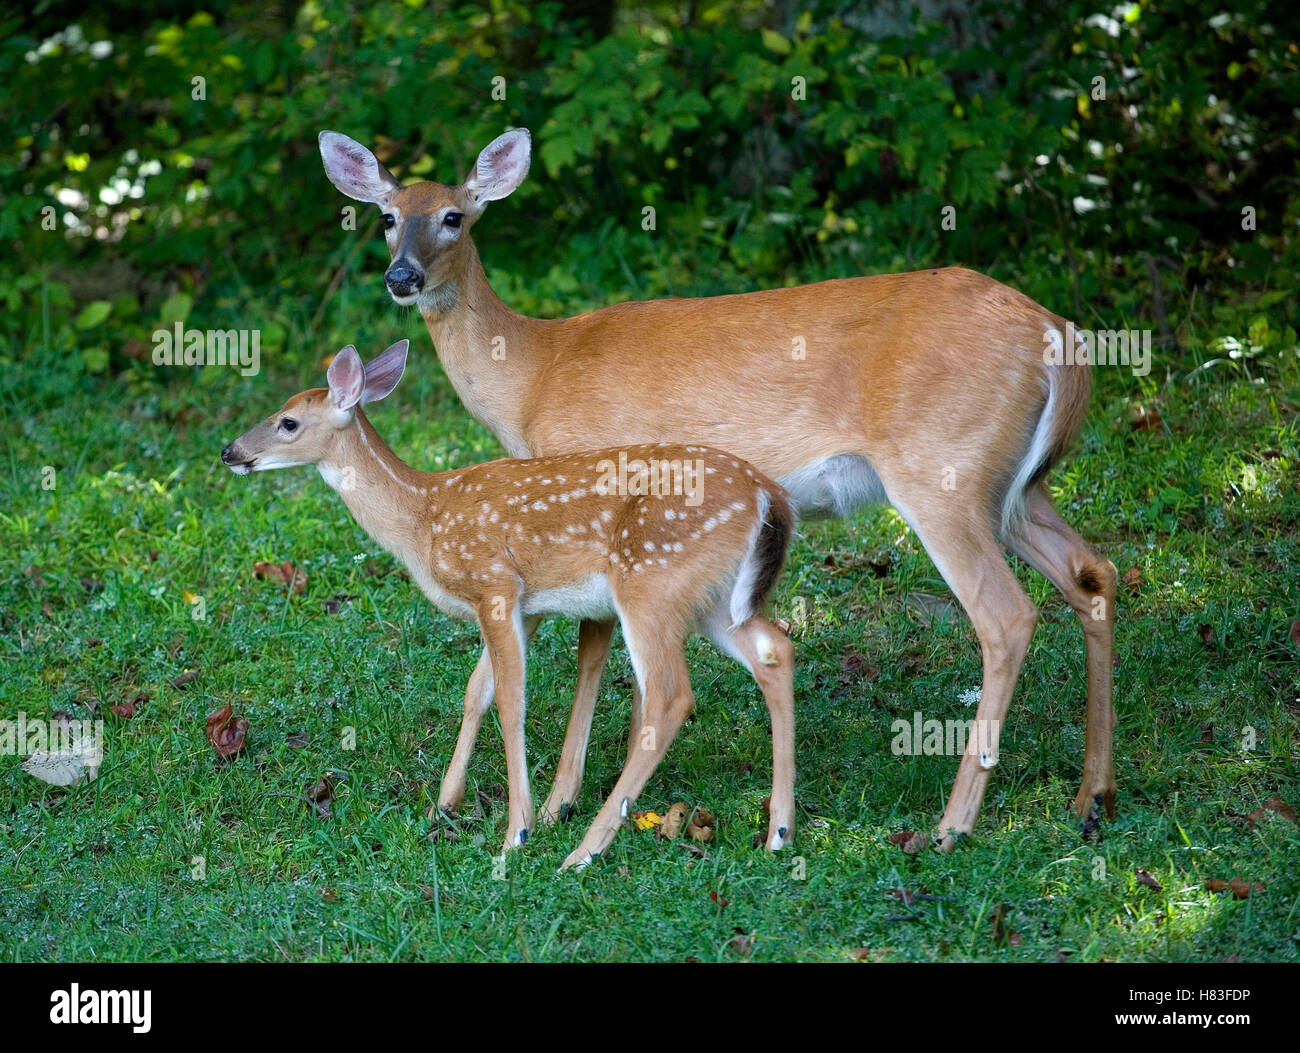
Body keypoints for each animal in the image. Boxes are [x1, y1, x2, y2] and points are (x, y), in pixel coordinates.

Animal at [221, 339, 797, 869]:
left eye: (288, 422)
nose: (230, 452)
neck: (423, 519)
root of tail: (767, 494)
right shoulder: (526, 604)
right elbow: (477, 691)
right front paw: (443, 804)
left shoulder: (494, 581)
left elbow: (510, 701)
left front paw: (515, 834)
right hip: (714, 598)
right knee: (775, 651)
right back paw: (778, 833)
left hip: (651, 580)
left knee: (671, 695)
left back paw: (582, 853)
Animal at [318, 127, 1119, 850]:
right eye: (387, 216)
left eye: (454, 215)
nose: (401, 277)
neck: (534, 374)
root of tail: (1060, 339)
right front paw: (476, 803)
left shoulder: (589, 500)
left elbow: (585, 650)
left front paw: (547, 808)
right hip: (1010, 486)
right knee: (1092, 571)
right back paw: (1092, 796)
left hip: (941, 472)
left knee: (1006, 615)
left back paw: (952, 824)